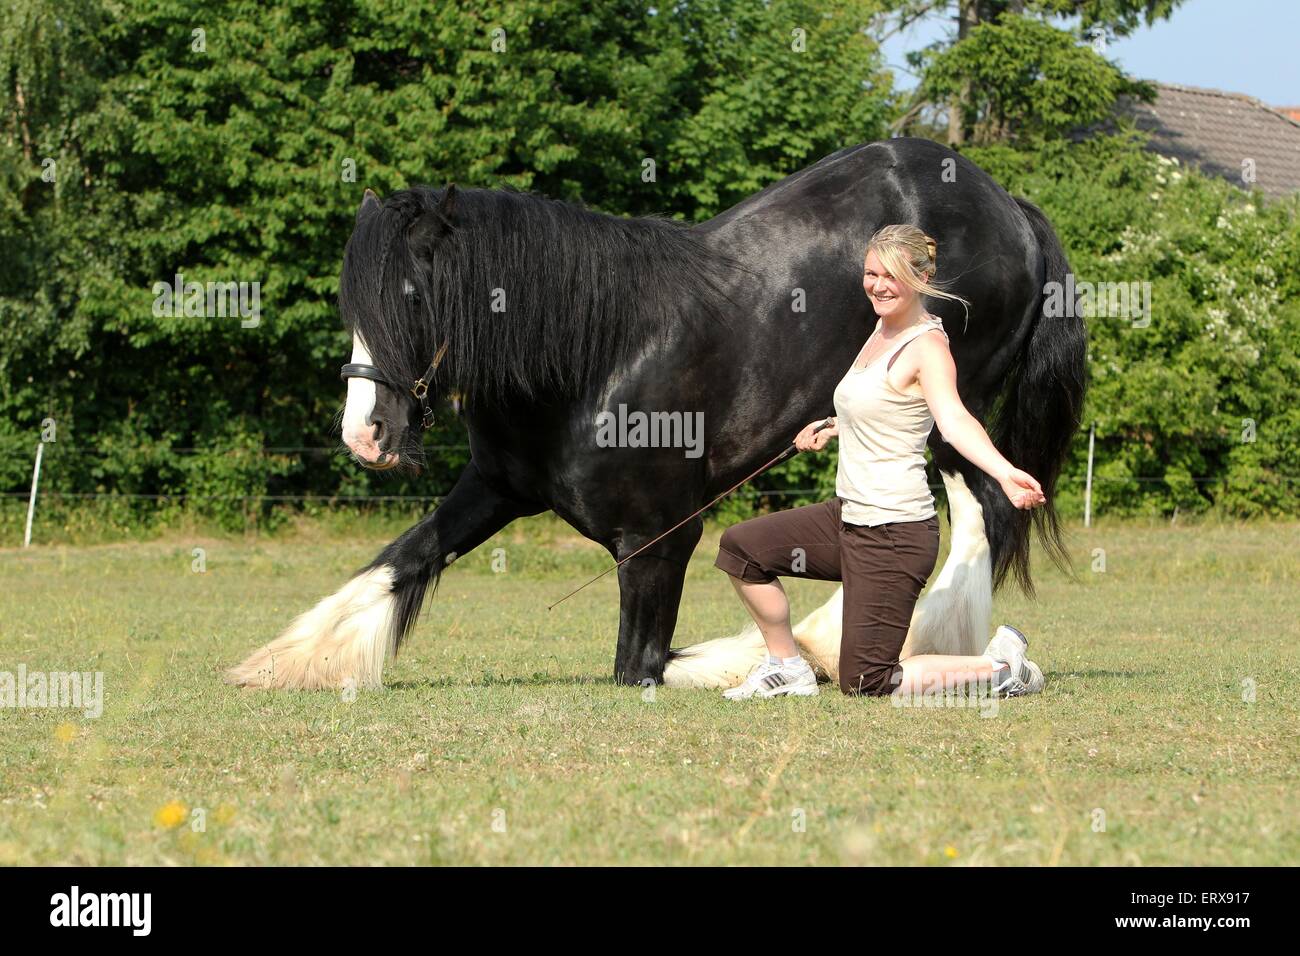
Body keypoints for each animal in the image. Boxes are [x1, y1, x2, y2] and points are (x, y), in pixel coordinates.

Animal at [226, 136, 1086, 692]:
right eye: (354, 304)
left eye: (414, 297)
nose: (365, 435)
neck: (596, 354)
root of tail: (1008, 204)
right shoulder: (495, 487)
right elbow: (399, 562)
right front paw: (280, 662)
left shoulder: (658, 543)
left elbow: (644, 666)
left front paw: (797, 656)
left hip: (946, 405)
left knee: (979, 510)